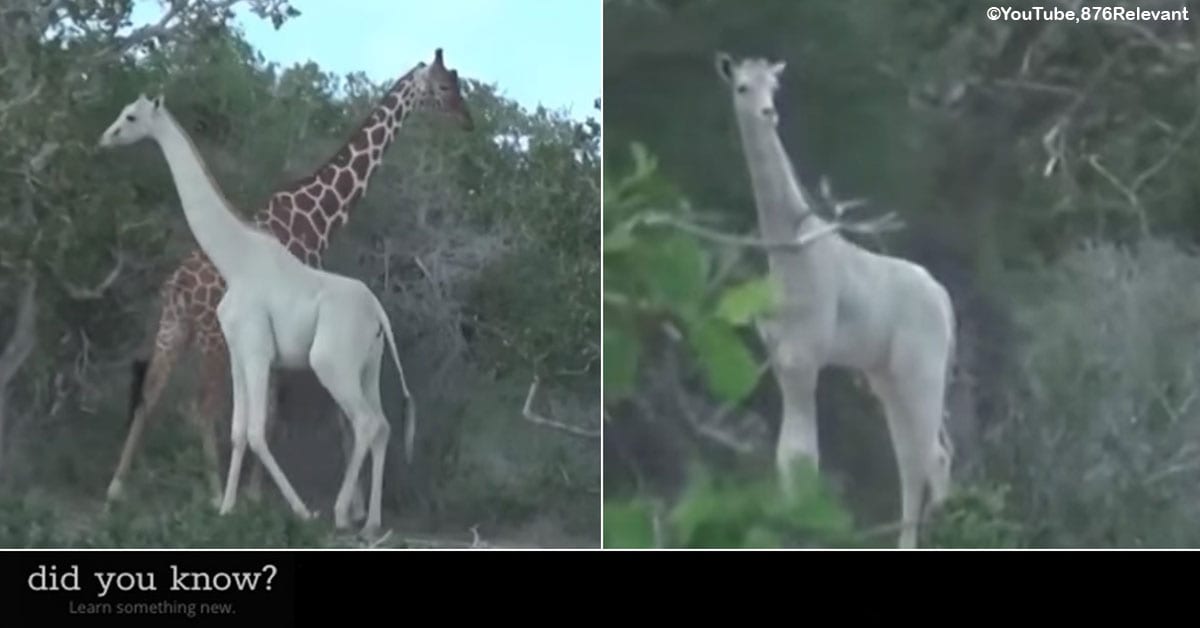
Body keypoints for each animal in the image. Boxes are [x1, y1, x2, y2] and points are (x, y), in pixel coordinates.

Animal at [105, 49, 473, 511]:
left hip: (176, 327)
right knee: (197, 406)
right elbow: (271, 421)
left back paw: (121, 487)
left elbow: (269, 421)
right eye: (444, 86)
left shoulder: (265, 345)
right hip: (208, 337)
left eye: (457, 82)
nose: (467, 120)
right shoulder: (265, 344)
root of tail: (179, 283)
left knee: (152, 395)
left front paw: (256, 497)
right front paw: (259, 497)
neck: (314, 217)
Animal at [714, 52, 956, 548]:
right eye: (742, 87)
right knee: (912, 459)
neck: (789, 252)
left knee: (933, 456)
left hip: (922, 367)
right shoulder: (783, 360)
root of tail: (945, 300)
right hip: (886, 375)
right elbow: (789, 459)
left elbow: (805, 459)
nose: (768, 113)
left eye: (775, 87)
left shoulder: (806, 356)